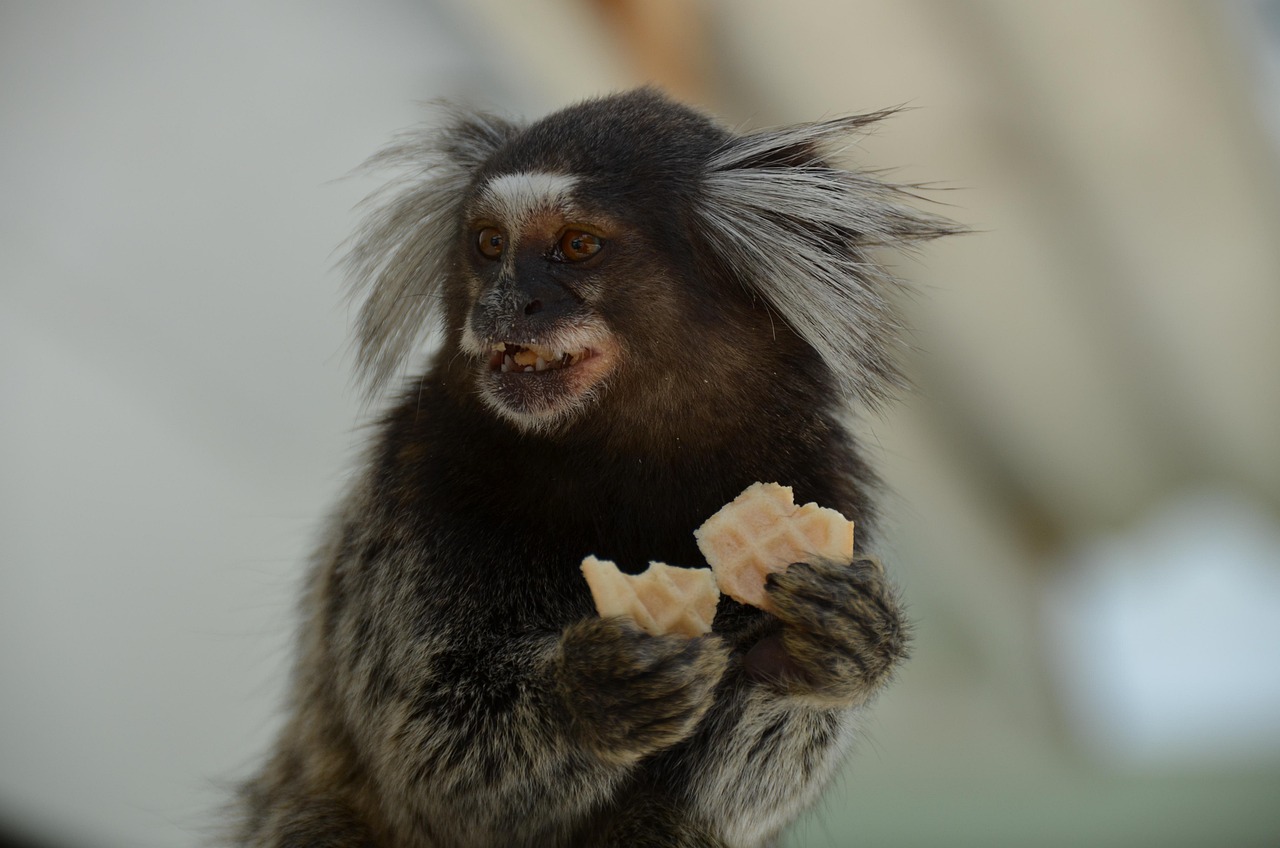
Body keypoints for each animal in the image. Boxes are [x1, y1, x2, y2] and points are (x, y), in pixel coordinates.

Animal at [232, 88, 953, 848]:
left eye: (577, 245)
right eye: (489, 243)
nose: (502, 304)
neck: (625, 462)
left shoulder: (829, 480)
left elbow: (728, 793)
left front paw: (835, 649)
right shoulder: (411, 477)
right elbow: (433, 759)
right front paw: (591, 694)